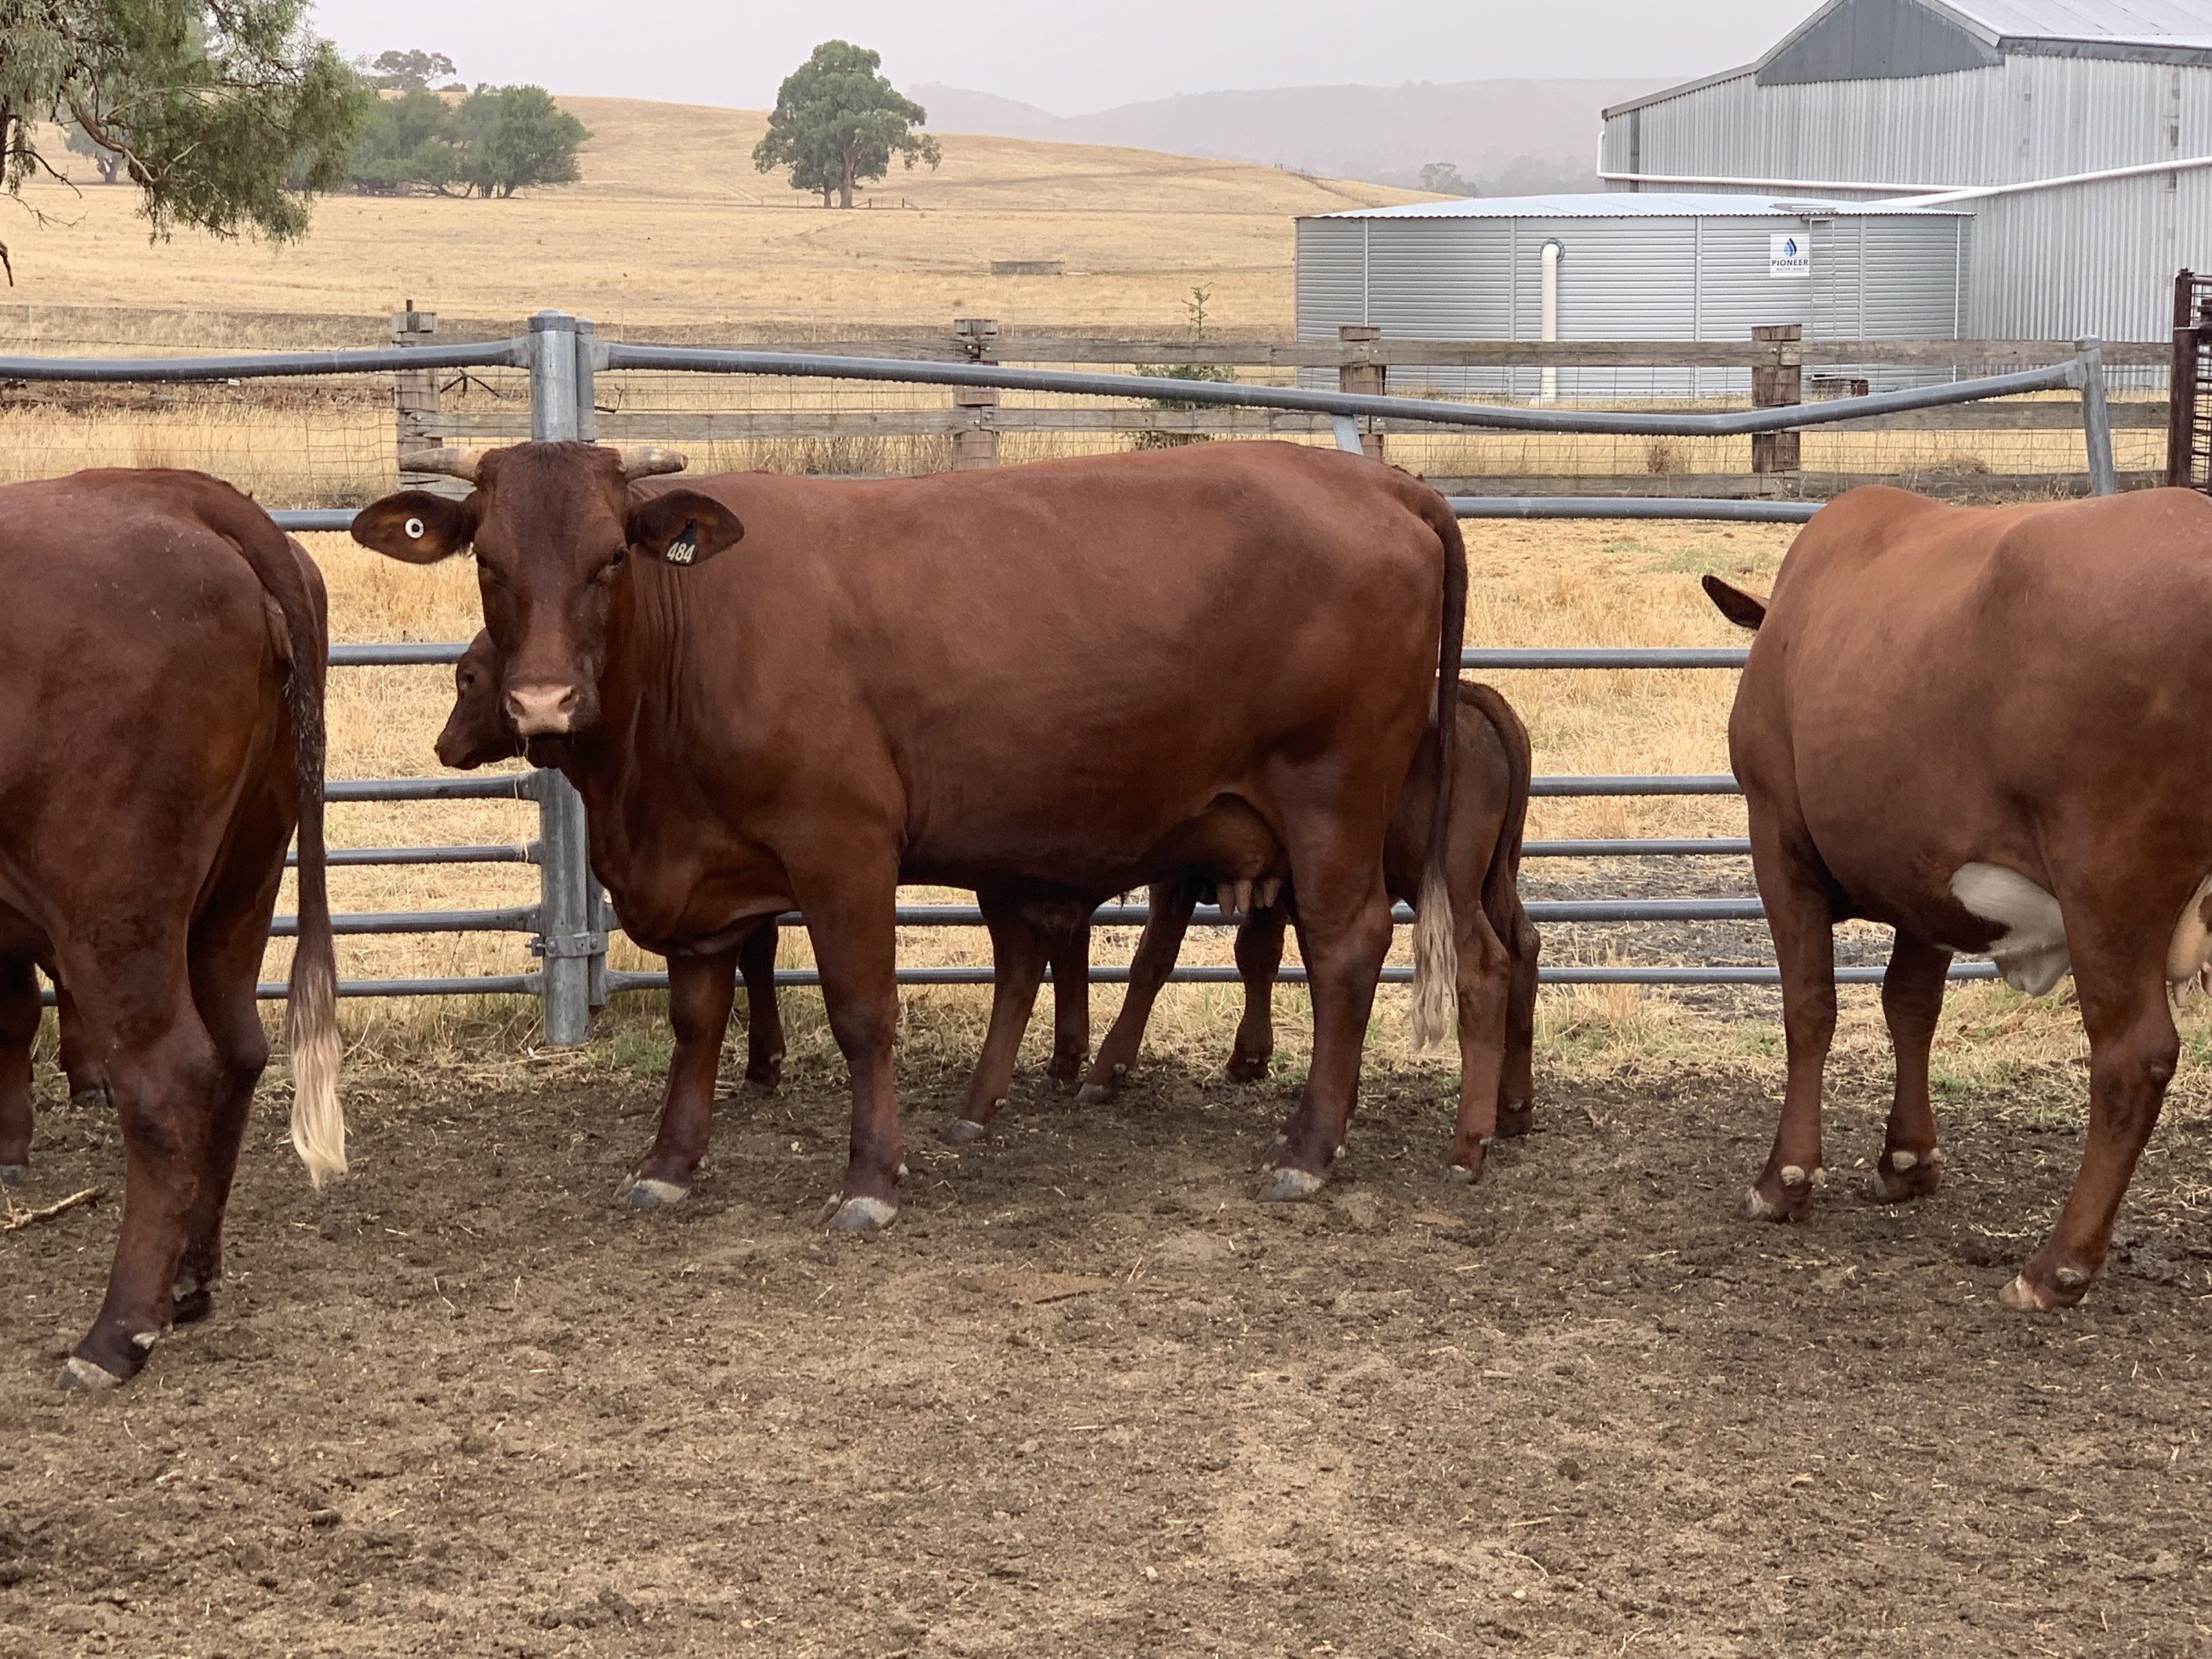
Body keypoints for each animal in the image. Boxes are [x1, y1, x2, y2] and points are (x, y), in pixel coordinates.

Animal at [0, 469, 341, 1387]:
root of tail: (176, 493)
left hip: (118, 902)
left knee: (170, 1077)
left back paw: (115, 1334)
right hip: (240, 880)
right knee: (239, 1050)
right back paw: (188, 1280)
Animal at [355, 439, 1465, 1230]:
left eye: (608, 557)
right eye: (489, 561)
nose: (543, 701)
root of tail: (1378, 480)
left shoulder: (842, 849)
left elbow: (861, 1014)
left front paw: (870, 1179)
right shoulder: (701, 879)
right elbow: (697, 1022)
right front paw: (668, 1163)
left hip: (1330, 802)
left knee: (1347, 950)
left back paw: (1305, 1151)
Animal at [1068, 680, 1540, 1178]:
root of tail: (1471, 698)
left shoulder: (1180, 878)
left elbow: (1152, 962)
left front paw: (1107, 1072)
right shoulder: (1275, 887)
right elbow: (1269, 958)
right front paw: (1257, 1059)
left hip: (1443, 887)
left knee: (1484, 970)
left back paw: (1468, 1149)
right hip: (1495, 882)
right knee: (1524, 945)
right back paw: (1513, 1109)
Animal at [1703, 484, 2212, 1310]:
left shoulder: (1777, 837)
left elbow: (1809, 1006)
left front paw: (1785, 1178)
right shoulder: (1927, 879)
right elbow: (1910, 1004)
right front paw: (1907, 1159)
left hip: (2108, 884)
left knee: (2132, 1056)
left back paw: (2056, 1266)